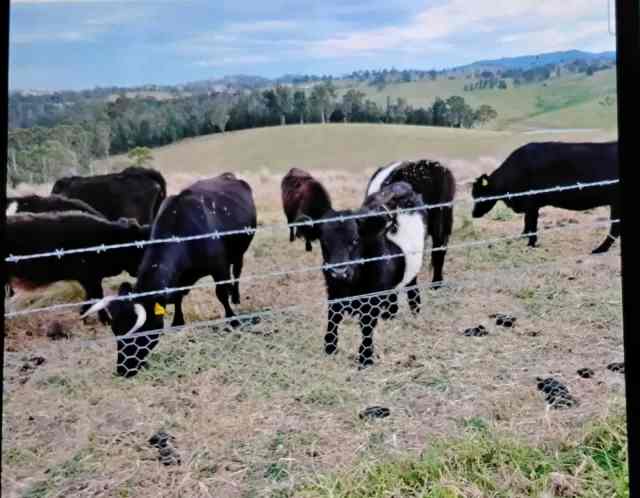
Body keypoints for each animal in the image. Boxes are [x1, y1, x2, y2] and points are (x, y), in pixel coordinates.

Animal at [6, 212, 151, 324]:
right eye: (141, 247)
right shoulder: (90, 277)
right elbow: (97, 297)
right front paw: (106, 321)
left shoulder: (91, 279)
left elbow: (90, 298)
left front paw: (83, 317)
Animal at [82, 173, 257, 377]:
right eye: (115, 331)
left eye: (139, 335)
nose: (123, 370)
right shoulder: (179, 279)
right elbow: (177, 298)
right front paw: (177, 322)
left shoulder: (218, 266)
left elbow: (221, 294)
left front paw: (232, 321)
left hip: (238, 254)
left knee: (236, 273)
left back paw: (235, 296)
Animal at [312, 181, 426, 367]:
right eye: (324, 242)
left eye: (355, 240)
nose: (339, 272)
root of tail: (401, 185)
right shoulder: (333, 291)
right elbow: (333, 319)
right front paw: (330, 348)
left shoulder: (371, 300)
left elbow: (367, 327)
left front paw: (366, 358)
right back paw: (389, 315)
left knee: (412, 289)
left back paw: (415, 312)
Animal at [471, 141, 620, 253]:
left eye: (480, 195)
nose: (473, 214)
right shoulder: (532, 206)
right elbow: (527, 224)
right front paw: (522, 238)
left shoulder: (531, 204)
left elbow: (531, 224)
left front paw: (530, 244)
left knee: (615, 227)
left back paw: (600, 249)